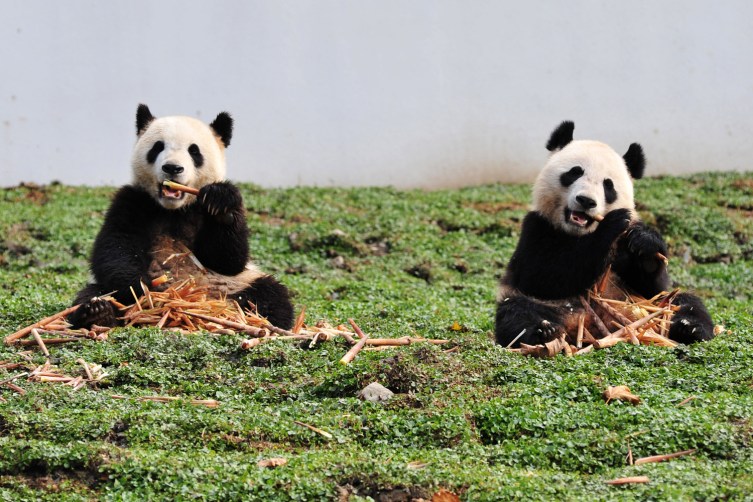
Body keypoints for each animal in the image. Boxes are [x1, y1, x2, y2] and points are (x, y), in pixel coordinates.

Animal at [68, 104, 294, 330]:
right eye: (158, 147)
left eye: (194, 151)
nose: (172, 168)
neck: (174, 210)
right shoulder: (133, 201)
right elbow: (116, 247)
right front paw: (144, 291)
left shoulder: (201, 211)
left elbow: (228, 260)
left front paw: (221, 204)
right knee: (94, 293)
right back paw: (98, 312)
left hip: (237, 283)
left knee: (271, 295)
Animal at [495, 121, 714, 348]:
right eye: (575, 172)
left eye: (608, 185)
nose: (586, 201)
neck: (580, 233)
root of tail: (593, 325)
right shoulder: (537, 227)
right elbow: (541, 276)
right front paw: (612, 223)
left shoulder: (630, 256)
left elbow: (654, 285)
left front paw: (646, 243)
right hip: (546, 305)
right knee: (517, 310)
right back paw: (543, 331)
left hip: (647, 304)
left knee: (685, 302)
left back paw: (690, 328)